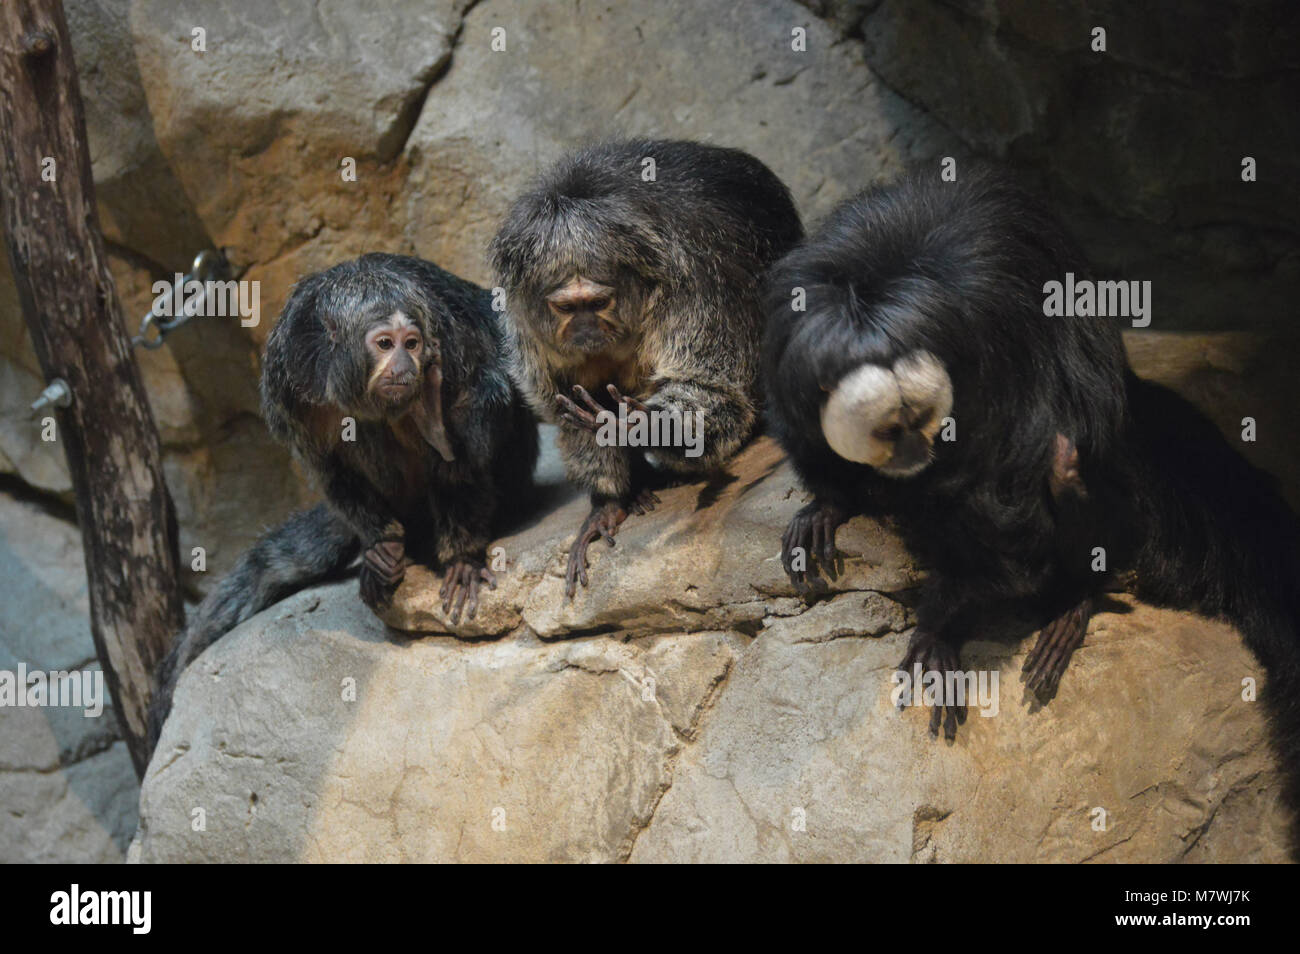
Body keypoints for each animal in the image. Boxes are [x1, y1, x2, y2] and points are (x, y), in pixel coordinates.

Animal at [147, 253, 538, 748]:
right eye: (386, 343)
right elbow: (327, 466)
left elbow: (481, 420)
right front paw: (383, 548)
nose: (406, 365)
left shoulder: (450, 348)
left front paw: (462, 558)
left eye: (413, 343)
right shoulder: (287, 383)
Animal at [490, 139, 803, 597]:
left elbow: (711, 390)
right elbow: (565, 413)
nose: (584, 326)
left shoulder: (693, 287)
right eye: (566, 308)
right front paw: (610, 500)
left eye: (598, 302)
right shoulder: (526, 328)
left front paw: (646, 426)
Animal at [764, 167, 1300, 856]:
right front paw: (829, 504)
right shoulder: (793, 352)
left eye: (920, 417)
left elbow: (1008, 525)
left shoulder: (984, 371)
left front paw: (941, 625)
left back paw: (1076, 583)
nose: (915, 450)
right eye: (889, 428)